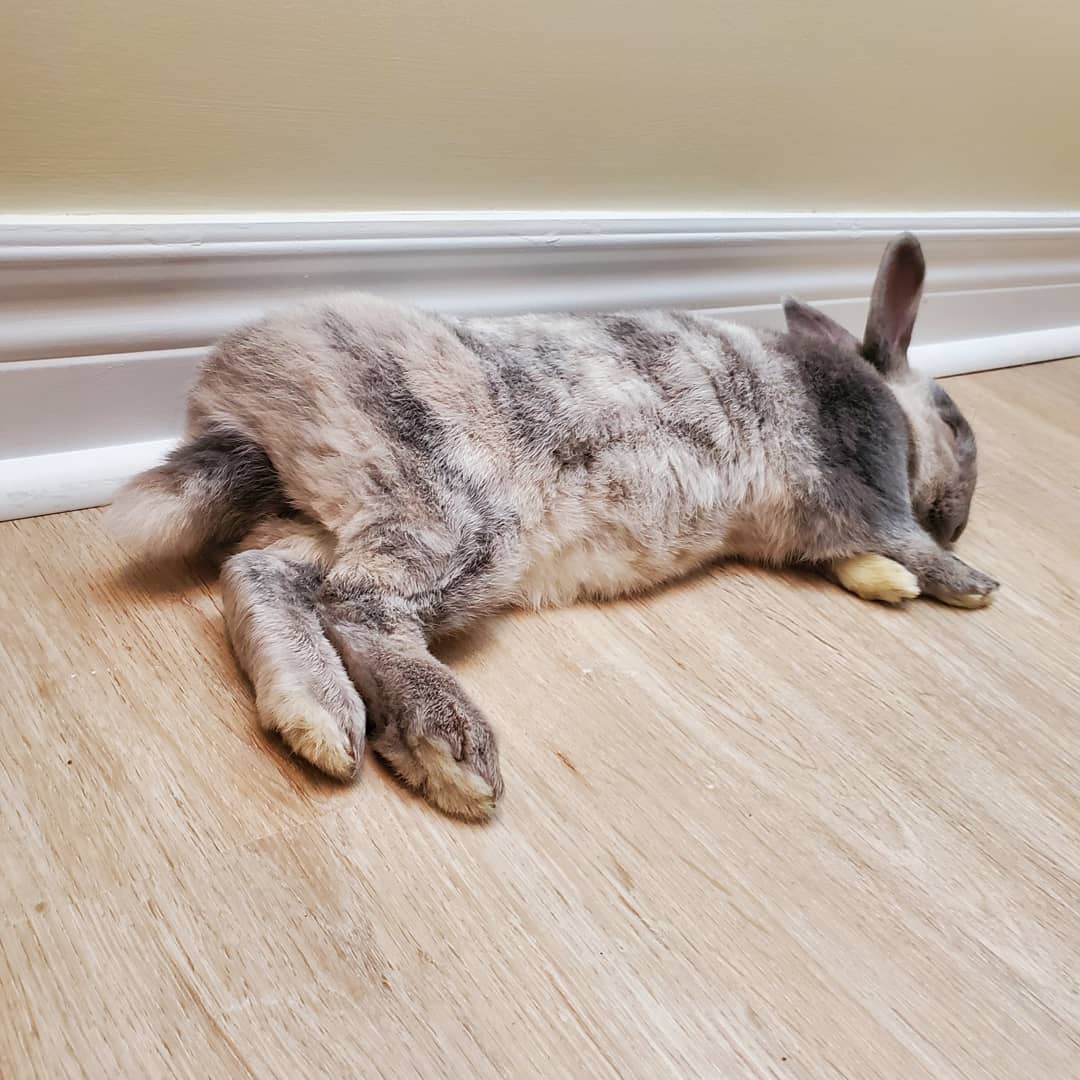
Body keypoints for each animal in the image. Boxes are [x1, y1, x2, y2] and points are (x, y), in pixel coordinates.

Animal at [108, 232, 998, 821]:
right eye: (959, 427)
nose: (960, 524)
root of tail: (241, 405)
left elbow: (859, 559)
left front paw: (891, 585)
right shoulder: (862, 492)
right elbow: (899, 538)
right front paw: (970, 585)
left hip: (326, 516)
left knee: (259, 578)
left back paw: (318, 721)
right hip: (456, 521)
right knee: (358, 605)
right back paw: (447, 749)